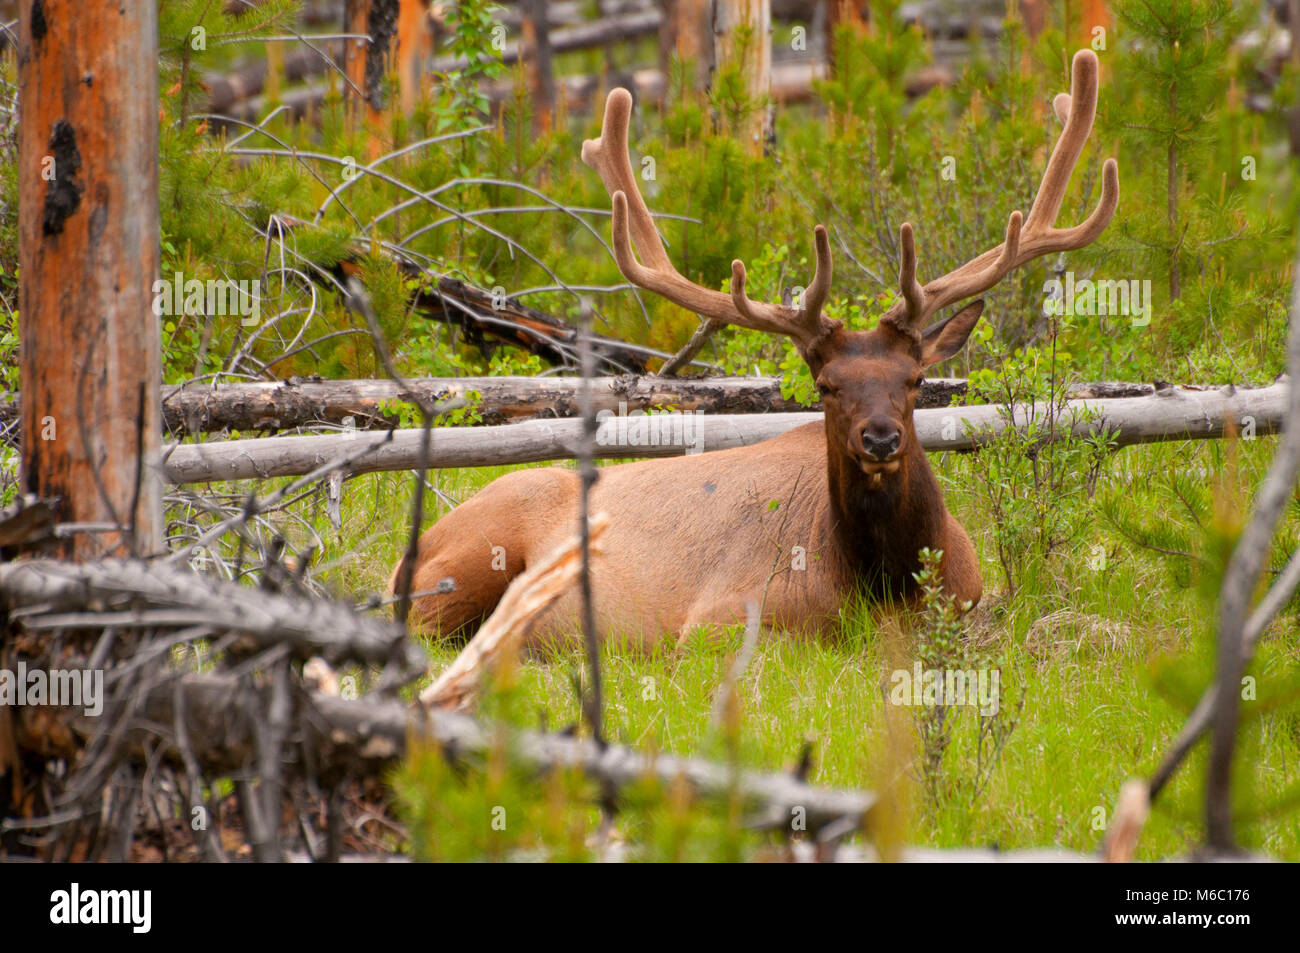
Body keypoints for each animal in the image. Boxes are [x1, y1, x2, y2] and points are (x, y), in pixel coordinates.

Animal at [393, 49, 1119, 647]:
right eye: (826, 385)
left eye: (915, 380)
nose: (880, 437)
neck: (884, 590)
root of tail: (414, 549)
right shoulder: (716, 619)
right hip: (467, 558)